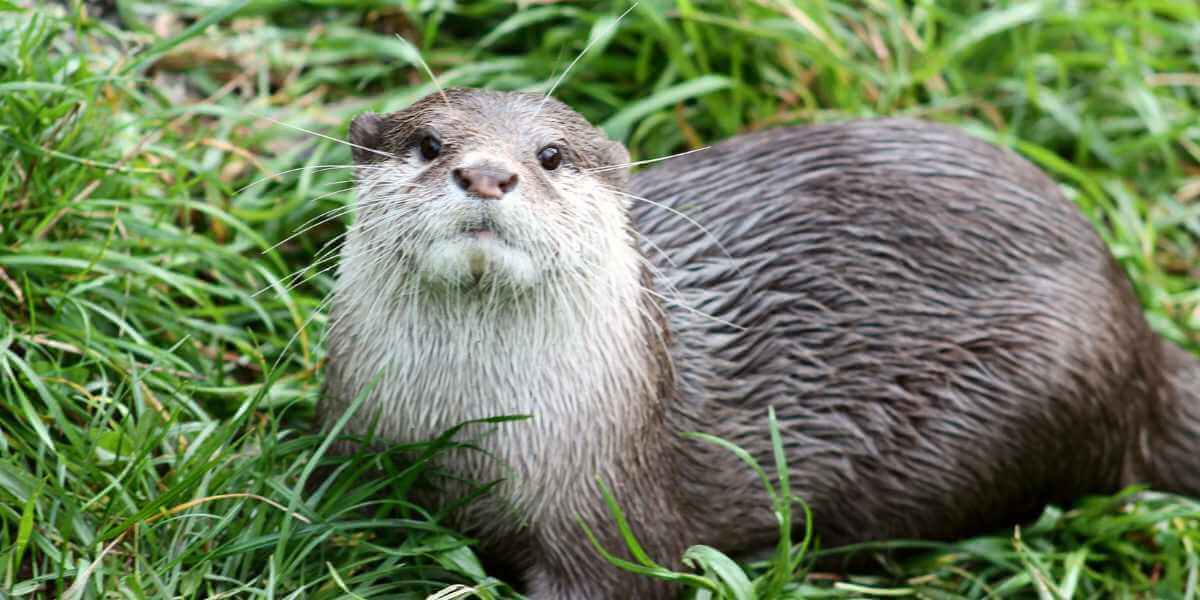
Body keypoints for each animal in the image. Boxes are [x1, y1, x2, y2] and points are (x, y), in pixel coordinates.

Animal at [319, 88, 1200, 599]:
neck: (467, 433)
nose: (487, 174)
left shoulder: (615, 517)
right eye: (429, 144)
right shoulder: (349, 448)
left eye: (550, 156)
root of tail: (1142, 345)